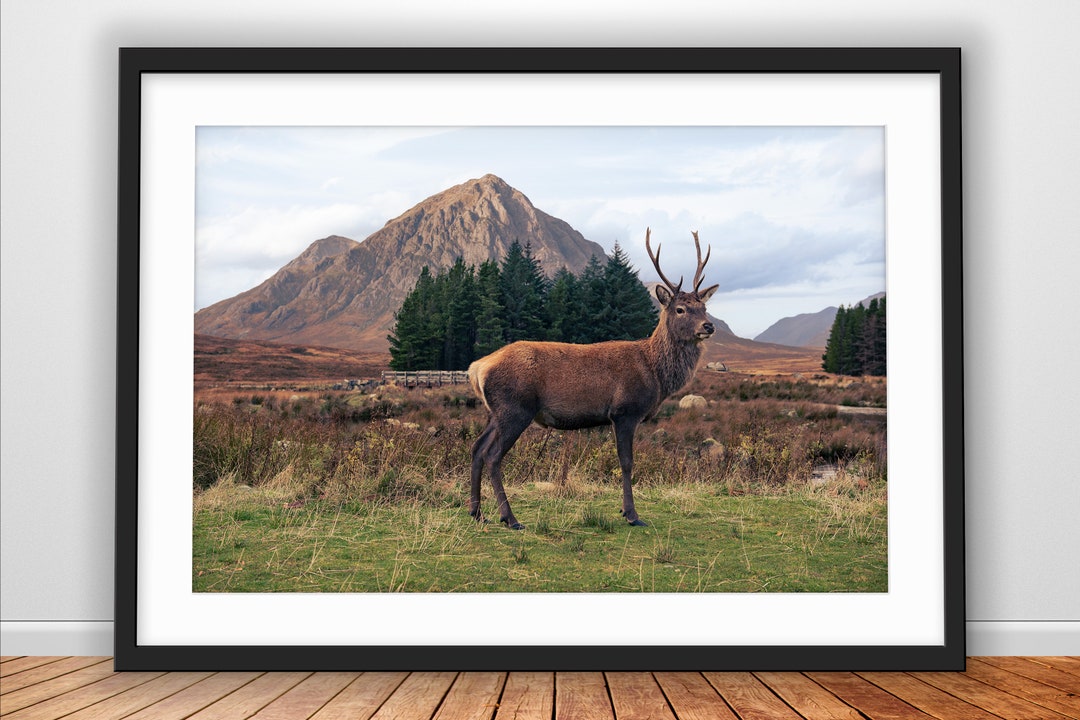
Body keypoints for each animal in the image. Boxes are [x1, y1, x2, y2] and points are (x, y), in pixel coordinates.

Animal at [467, 229, 719, 529]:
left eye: (703, 307)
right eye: (680, 309)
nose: (709, 326)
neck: (655, 374)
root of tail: (477, 368)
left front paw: (626, 511)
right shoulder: (625, 411)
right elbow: (626, 462)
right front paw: (631, 514)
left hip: (496, 412)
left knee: (476, 448)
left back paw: (477, 513)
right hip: (515, 408)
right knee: (493, 456)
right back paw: (510, 518)